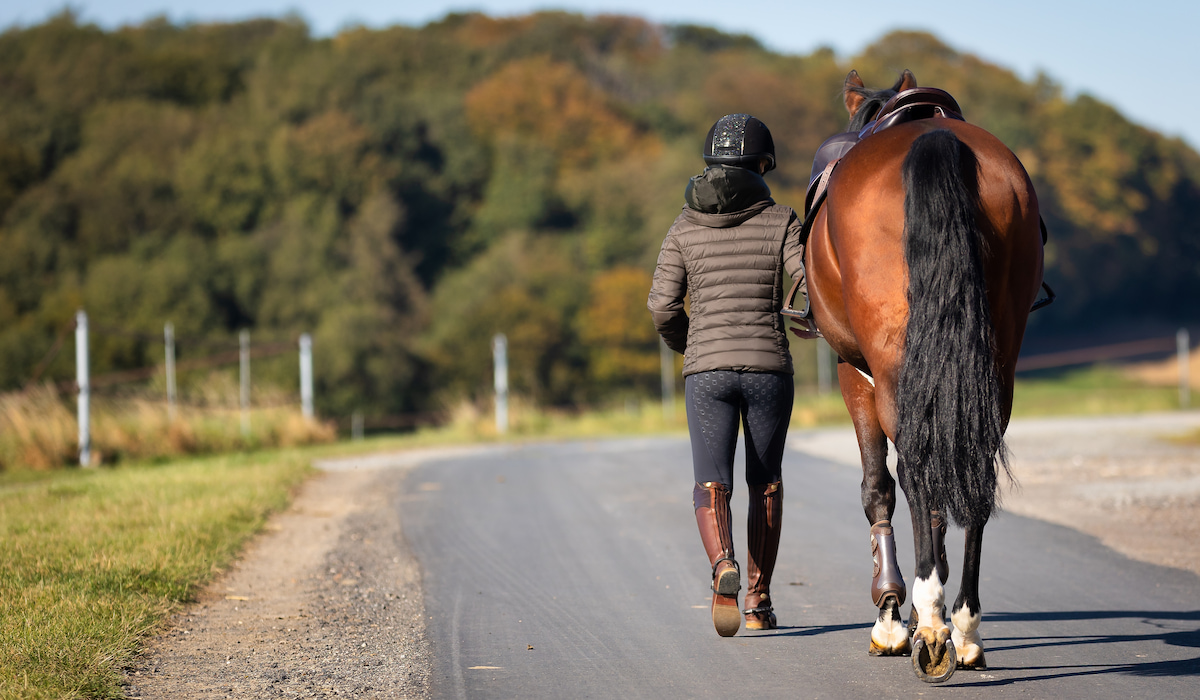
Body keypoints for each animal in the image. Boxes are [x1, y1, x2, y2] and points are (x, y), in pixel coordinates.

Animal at [802, 70, 1045, 682]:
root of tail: (933, 139)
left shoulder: (854, 372)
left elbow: (879, 488)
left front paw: (893, 615)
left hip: (889, 369)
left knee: (912, 471)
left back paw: (932, 624)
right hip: (995, 364)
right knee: (975, 471)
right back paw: (964, 628)